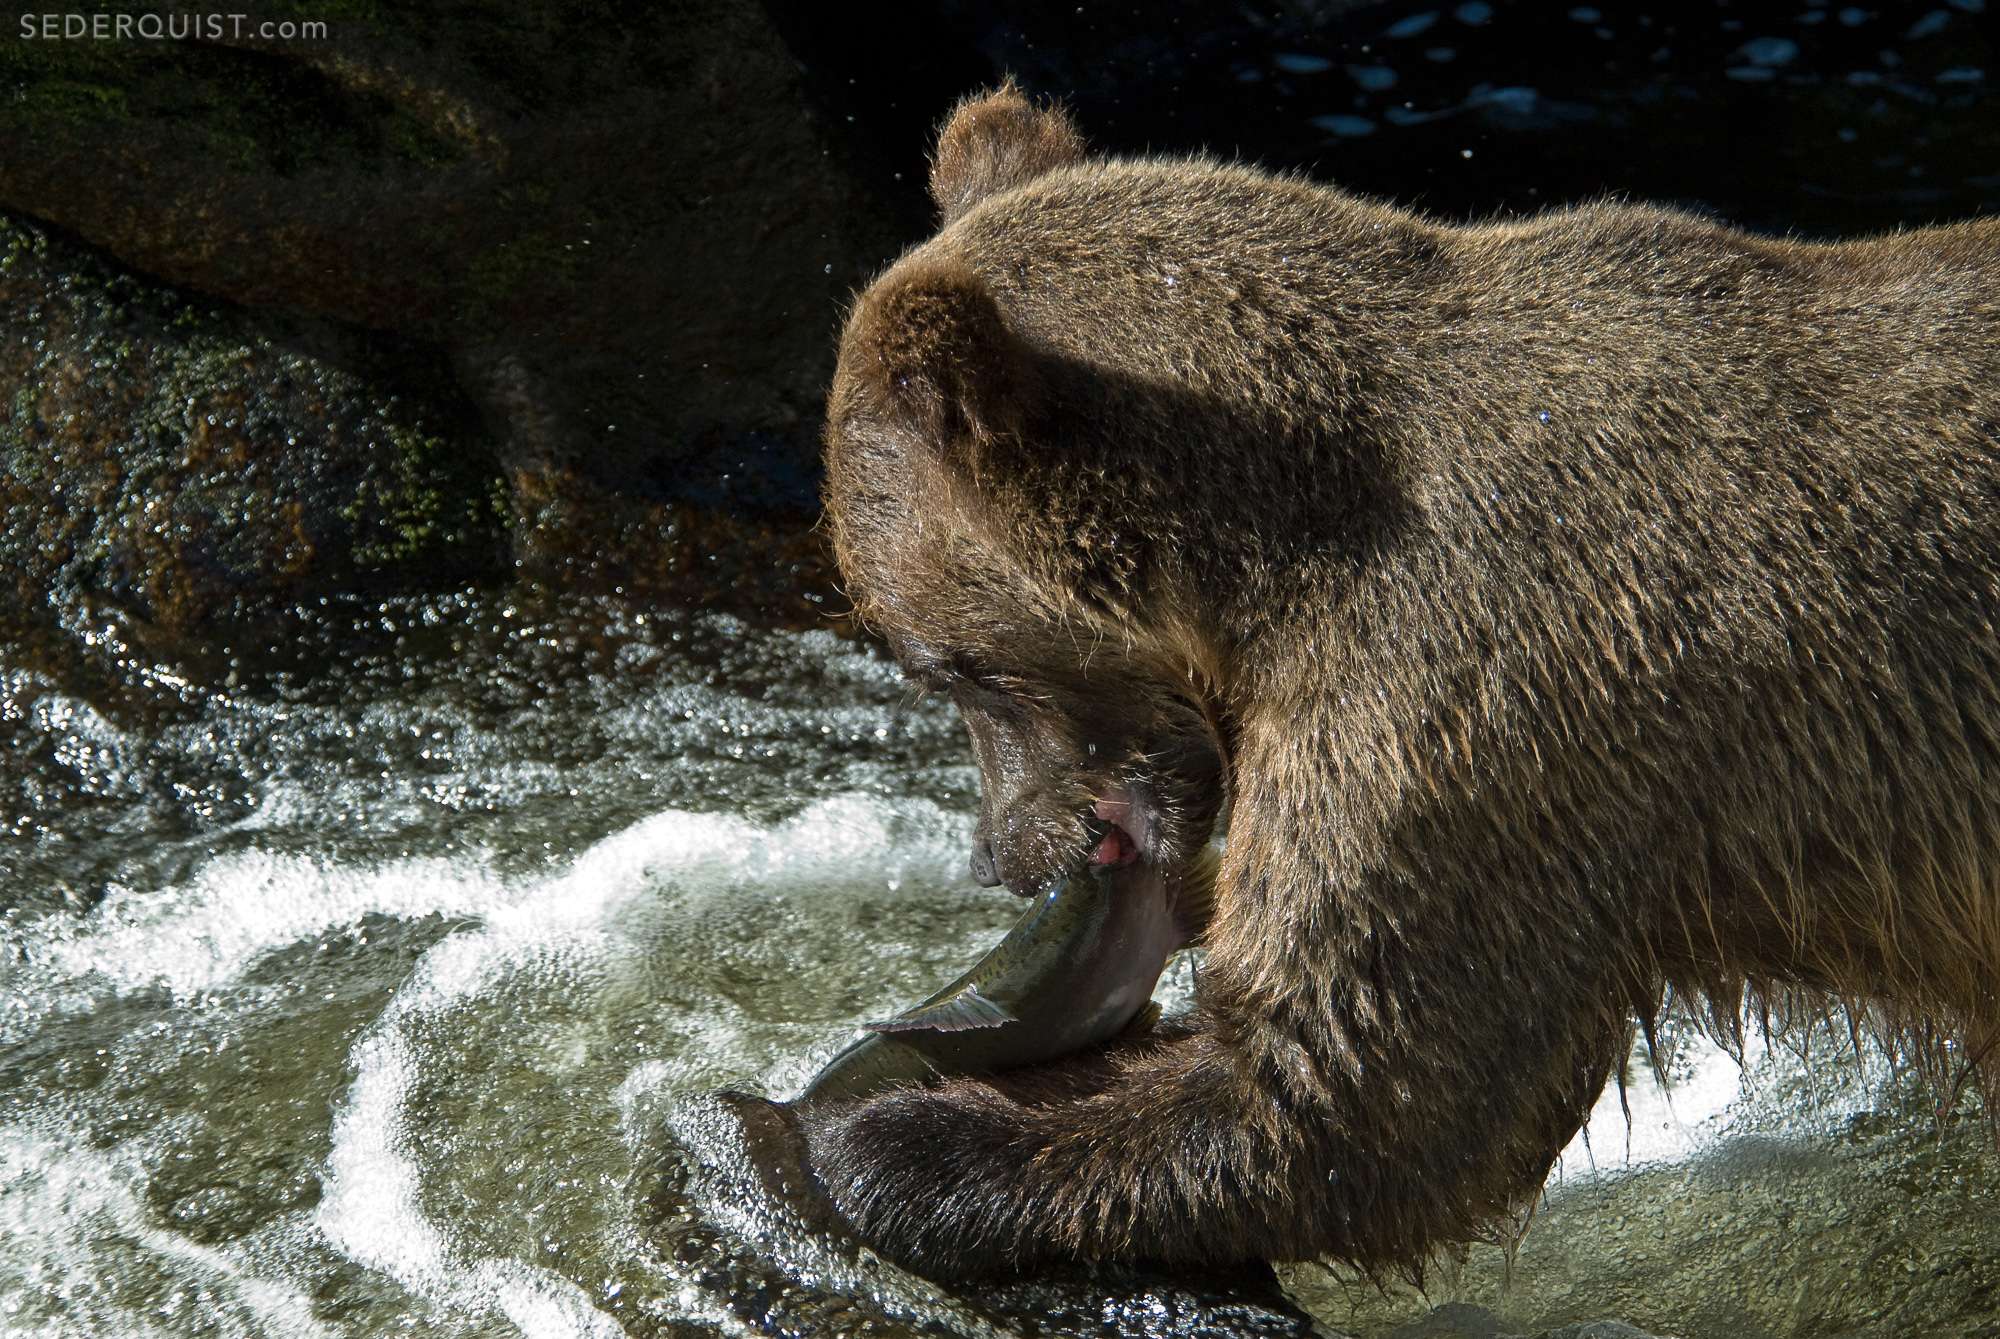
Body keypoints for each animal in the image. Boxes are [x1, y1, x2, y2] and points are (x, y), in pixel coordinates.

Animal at [800, 81, 2000, 1280]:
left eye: (943, 665)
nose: (996, 855)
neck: (1268, 551)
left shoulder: (1476, 708)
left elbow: (1355, 1092)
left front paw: (891, 1136)